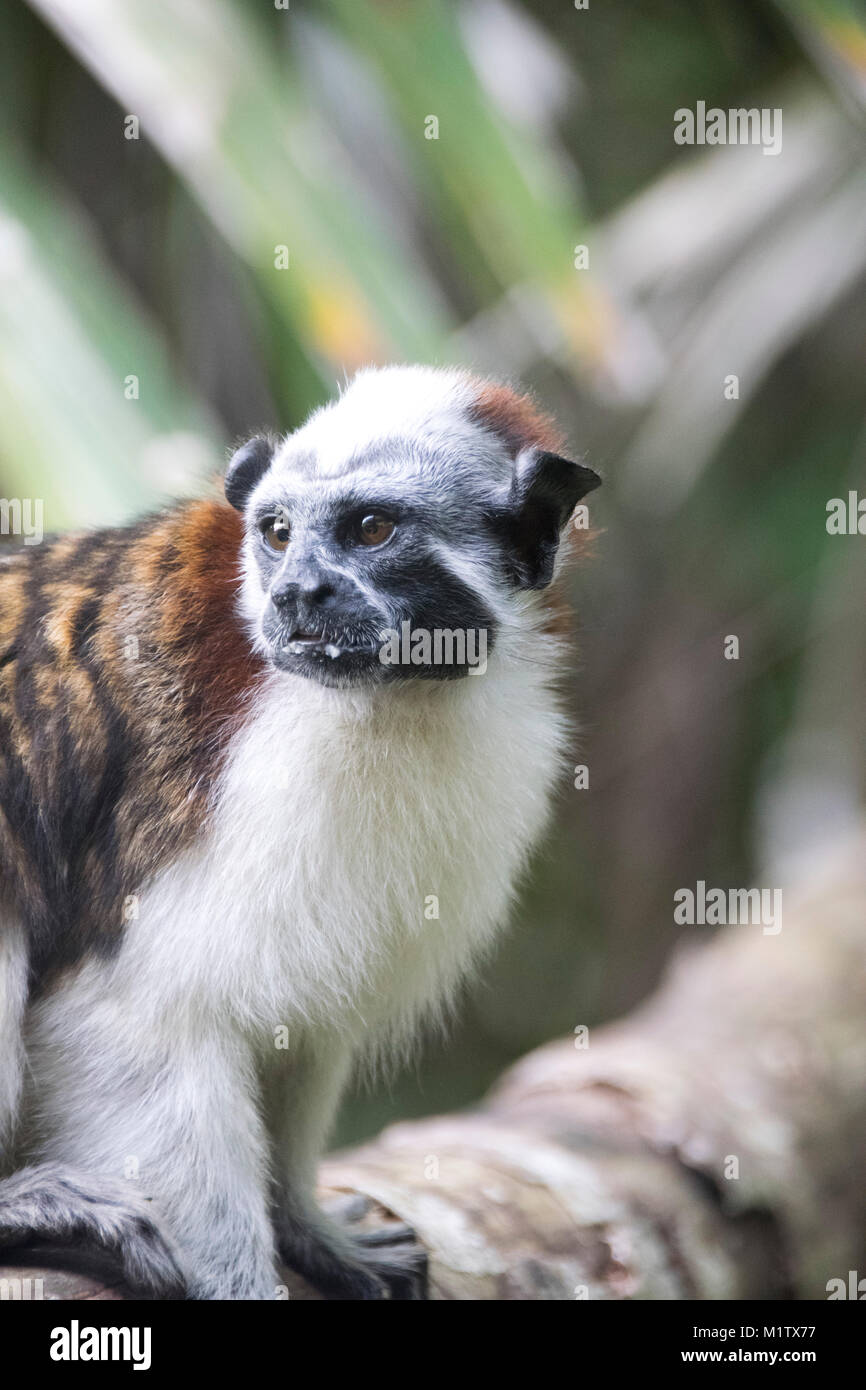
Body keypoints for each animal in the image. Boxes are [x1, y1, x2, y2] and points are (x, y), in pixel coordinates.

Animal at [0, 365, 599, 1299]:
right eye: (278, 534)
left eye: (371, 529)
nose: (295, 594)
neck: (395, 697)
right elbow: (134, 1014)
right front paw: (239, 1279)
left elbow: (303, 1026)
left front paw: (307, 1229)